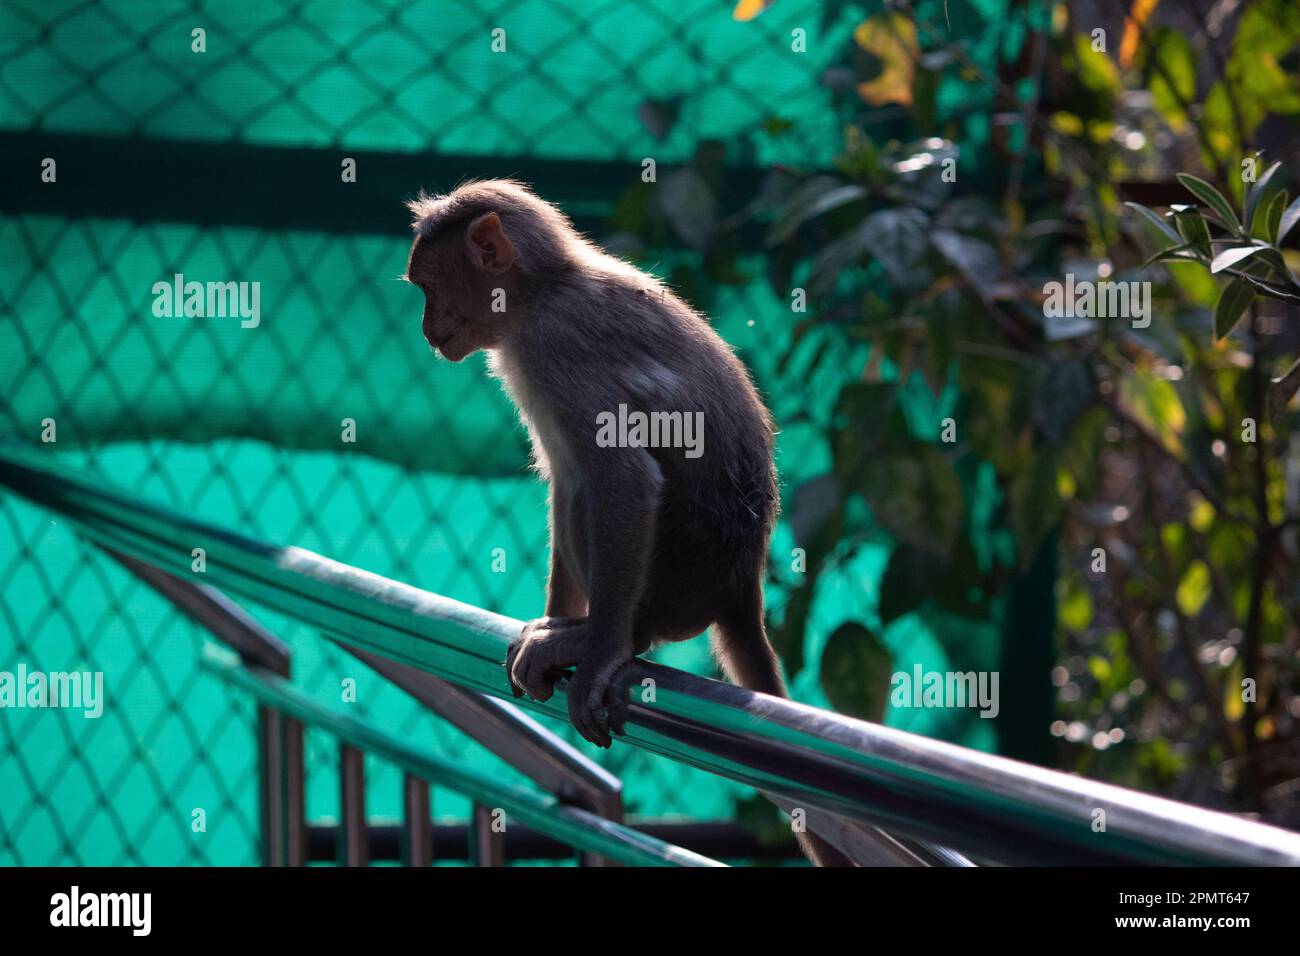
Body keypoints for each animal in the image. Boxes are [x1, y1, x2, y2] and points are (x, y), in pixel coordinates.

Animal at [404, 179, 851, 866]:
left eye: (428, 288)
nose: (427, 329)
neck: (542, 292)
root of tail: (739, 585)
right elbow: (564, 478)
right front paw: (557, 618)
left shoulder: (557, 346)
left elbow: (623, 479)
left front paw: (599, 650)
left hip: (678, 572)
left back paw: (616, 635)